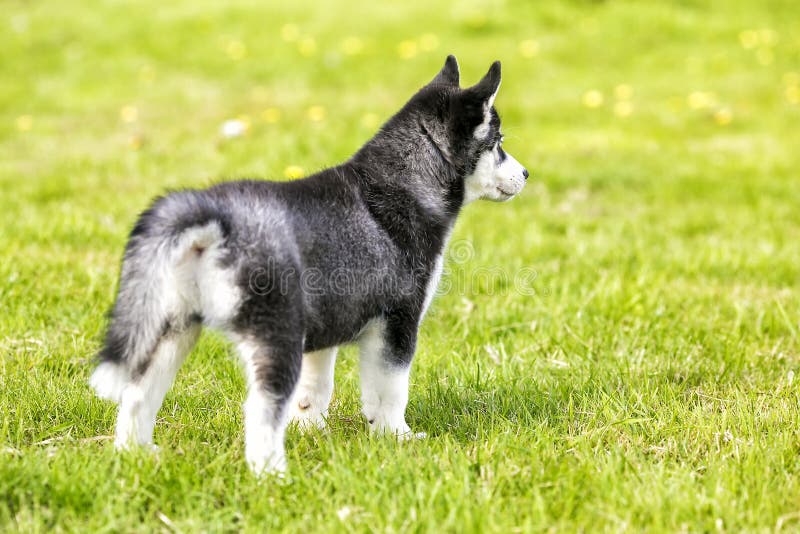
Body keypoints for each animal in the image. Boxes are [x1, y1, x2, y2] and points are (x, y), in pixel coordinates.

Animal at [89, 55, 528, 475]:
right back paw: (272, 475)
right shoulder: (399, 319)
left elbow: (316, 386)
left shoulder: (328, 318)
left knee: (137, 393)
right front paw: (397, 436)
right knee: (260, 410)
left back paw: (136, 455)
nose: (526, 173)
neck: (405, 180)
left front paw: (312, 429)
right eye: (498, 143)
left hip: (172, 326)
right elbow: (391, 389)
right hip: (276, 333)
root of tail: (214, 214)